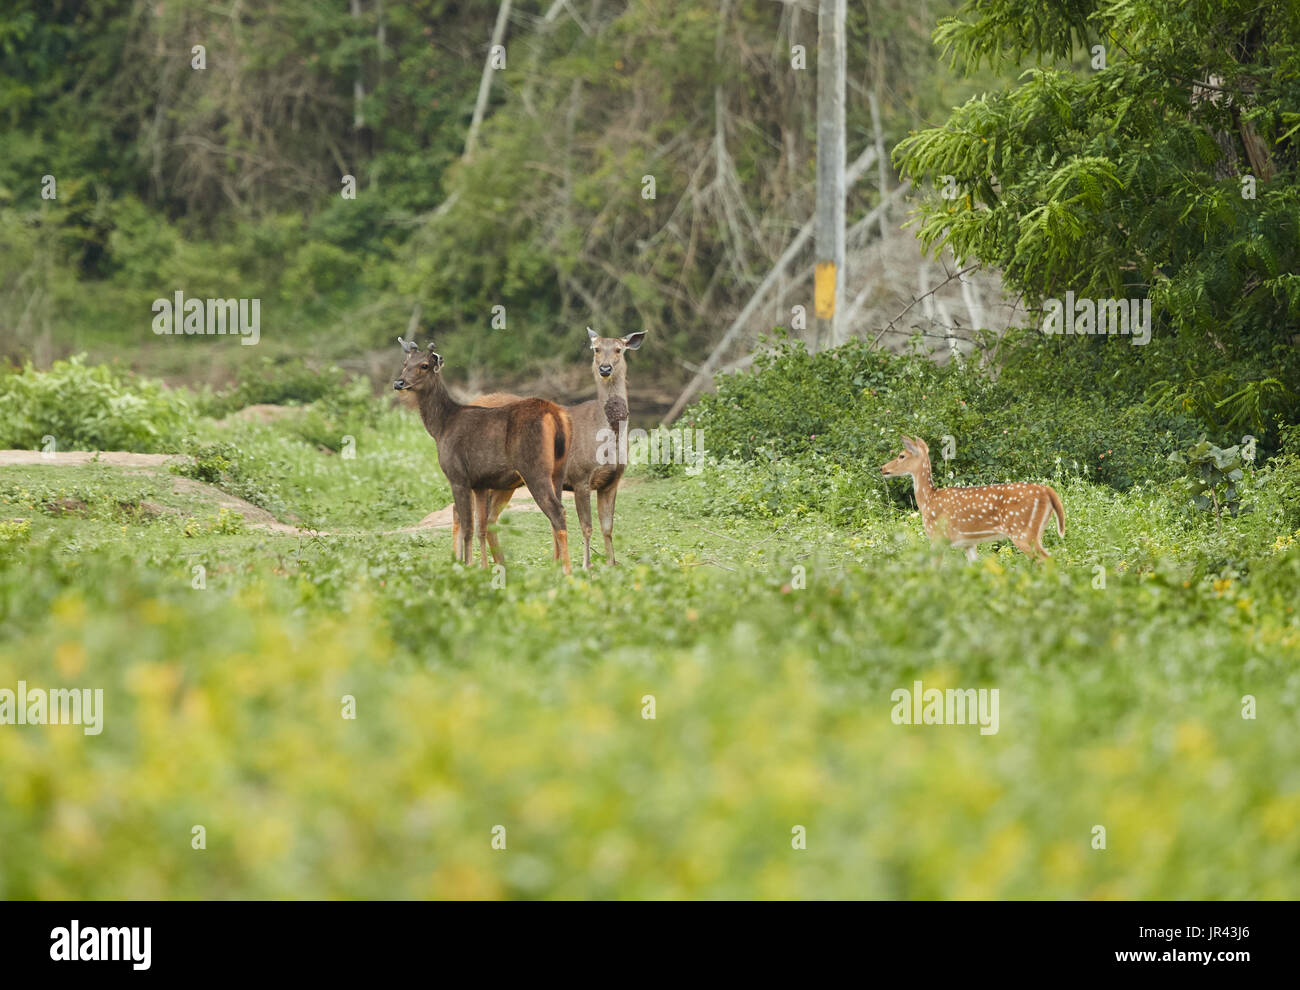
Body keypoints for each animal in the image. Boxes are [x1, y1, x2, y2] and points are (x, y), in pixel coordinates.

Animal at [393, 336, 572, 574]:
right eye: (405, 363)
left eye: (424, 365)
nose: (399, 383)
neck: (441, 427)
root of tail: (555, 414)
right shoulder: (480, 483)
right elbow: (481, 526)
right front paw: (481, 567)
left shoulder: (458, 476)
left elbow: (469, 526)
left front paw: (468, 565)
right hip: (559, 470)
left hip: (534, 469)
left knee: (557, 512)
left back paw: (567, 572)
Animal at [451, 327, 646, 569]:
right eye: (596, 349)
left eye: (619, 349)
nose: (605, 368)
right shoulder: (580, 476)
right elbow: (586, 526)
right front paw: (586, 565)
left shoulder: (612, 482)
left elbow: (607, 527)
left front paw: (611, 564)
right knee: (461, 511)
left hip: (504, 481)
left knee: (485, 517)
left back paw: (497, 563)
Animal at [880, 435, 1065, 560]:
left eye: (901, 455)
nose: (882, 468)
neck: (928, 500)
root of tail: (1047, 491)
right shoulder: (968, 543)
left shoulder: (937, 536)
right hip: (1035, 531)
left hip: (1022, 531)